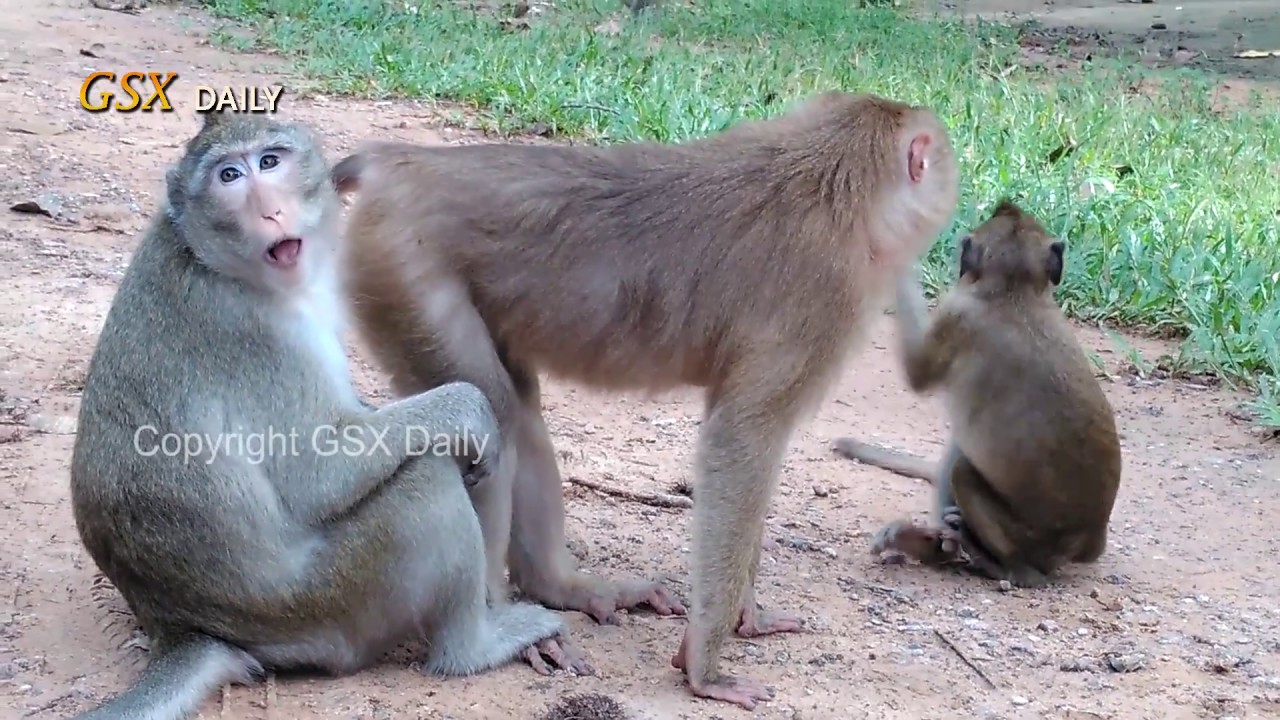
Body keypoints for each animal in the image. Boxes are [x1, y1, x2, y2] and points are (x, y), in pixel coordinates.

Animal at [67, 111, 590, 720]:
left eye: (269, 161)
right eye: (228, 176)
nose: (270, 209)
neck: (208, 258)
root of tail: (176, 624)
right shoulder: (254, 335)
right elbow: (315, 474)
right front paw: (469, 411)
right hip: (328, 603)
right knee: (423, 484)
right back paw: (473, 647)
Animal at [329, 90, 959, 709]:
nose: (954, 189)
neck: (837, 184)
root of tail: (401, 161)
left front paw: (746, 616)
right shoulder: (824, 302)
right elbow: (740, 443)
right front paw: (705, 667)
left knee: (518, 411)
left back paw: (559, 587)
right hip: (404, 270)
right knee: (494, 420)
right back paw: (493, 630)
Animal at [834, 200, 1122, 589]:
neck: (1014, 290)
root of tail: (1088, 541)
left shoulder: (958, 312)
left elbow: (916, 375)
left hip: (1027, 539)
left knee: (960, 462)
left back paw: (988, 561)